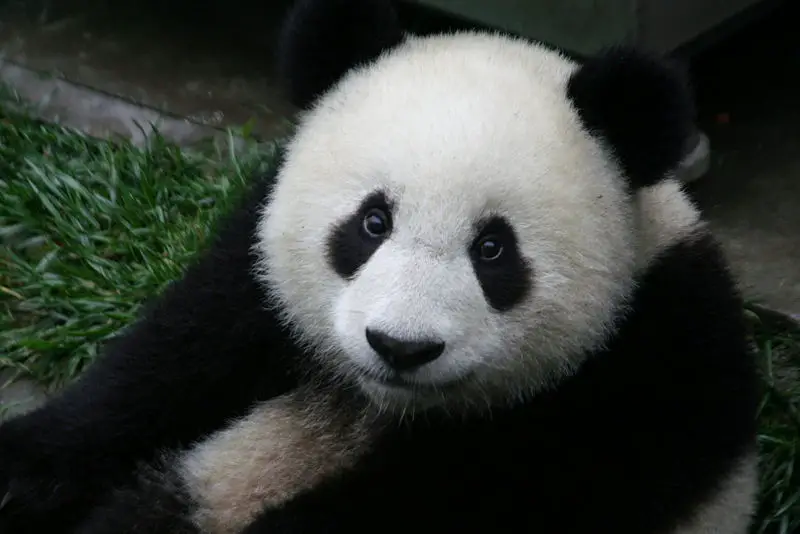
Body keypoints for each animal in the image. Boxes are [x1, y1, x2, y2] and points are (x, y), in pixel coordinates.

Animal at [0, 0, 759, 533]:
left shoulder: (642, 374)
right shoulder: (255, 272)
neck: (385, 405)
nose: (401, 347)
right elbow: (166, 363)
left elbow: (451, 501)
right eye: (372, 223)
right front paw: (22, 472)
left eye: (493, 250)